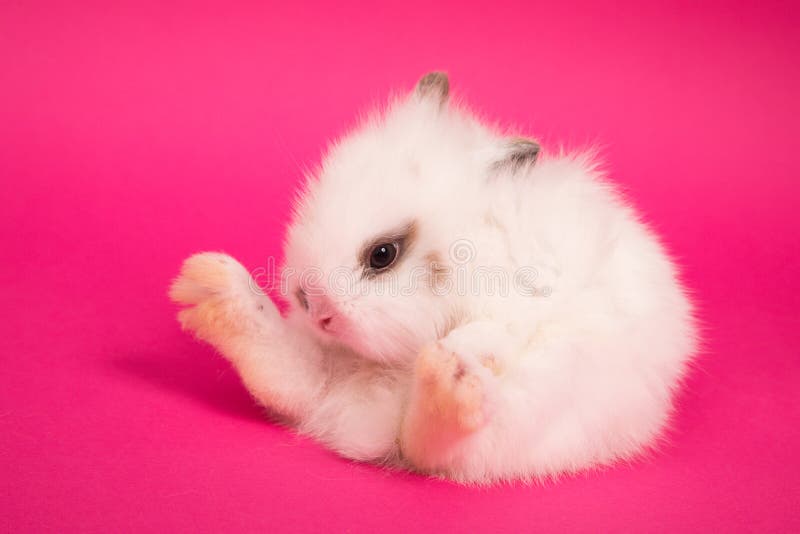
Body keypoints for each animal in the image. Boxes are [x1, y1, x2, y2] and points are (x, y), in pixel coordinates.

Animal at [169, 72, 697, 484]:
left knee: (433, 444)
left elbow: (495, 331)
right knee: (300, 380)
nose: (314, 308)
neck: (472, 250)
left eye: (383, 254)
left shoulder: (522, 305)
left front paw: (461, 350)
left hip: (546, 397)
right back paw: (213, 290)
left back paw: (450, 381)